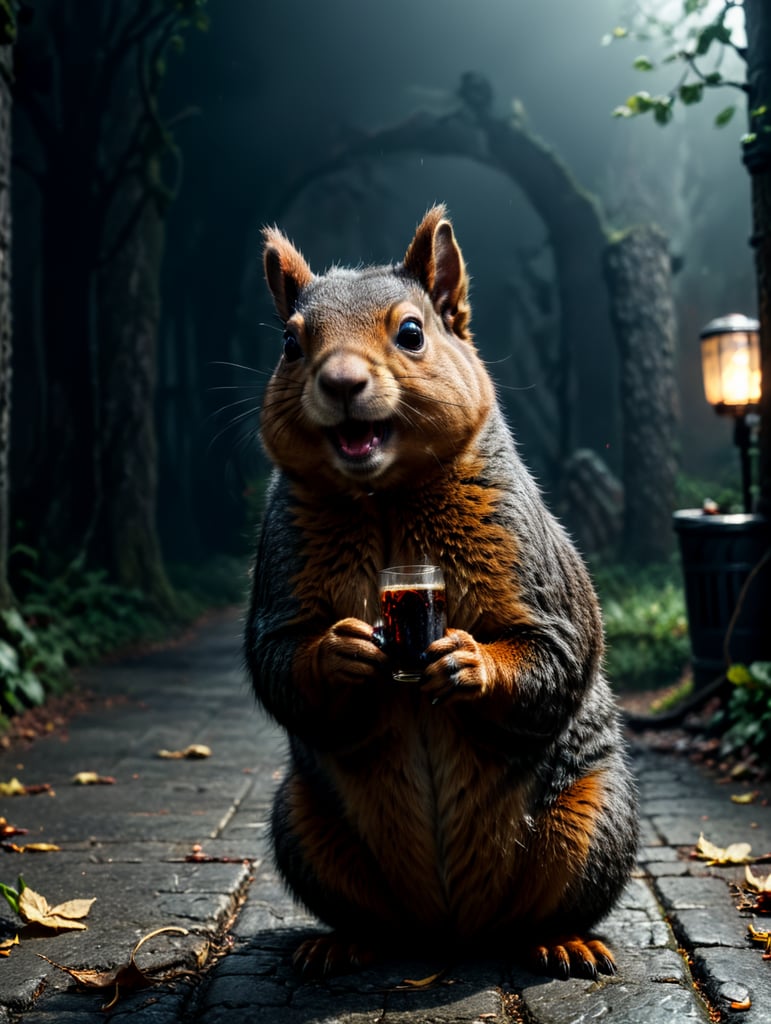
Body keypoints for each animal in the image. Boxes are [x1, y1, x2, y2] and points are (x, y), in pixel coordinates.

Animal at [245, 205, 639, 980]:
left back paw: (563, 941)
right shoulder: (281, 561)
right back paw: (344, 942)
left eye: (411, 332)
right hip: (304, 824)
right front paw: (338, 654)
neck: (387, 499)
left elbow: (556, 645)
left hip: (591, 823)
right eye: (288, 343)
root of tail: (451, 933)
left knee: (548, 909)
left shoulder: (529, 559)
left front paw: (469, 663)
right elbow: (275, 654)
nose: (340, 382)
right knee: (368, 914)